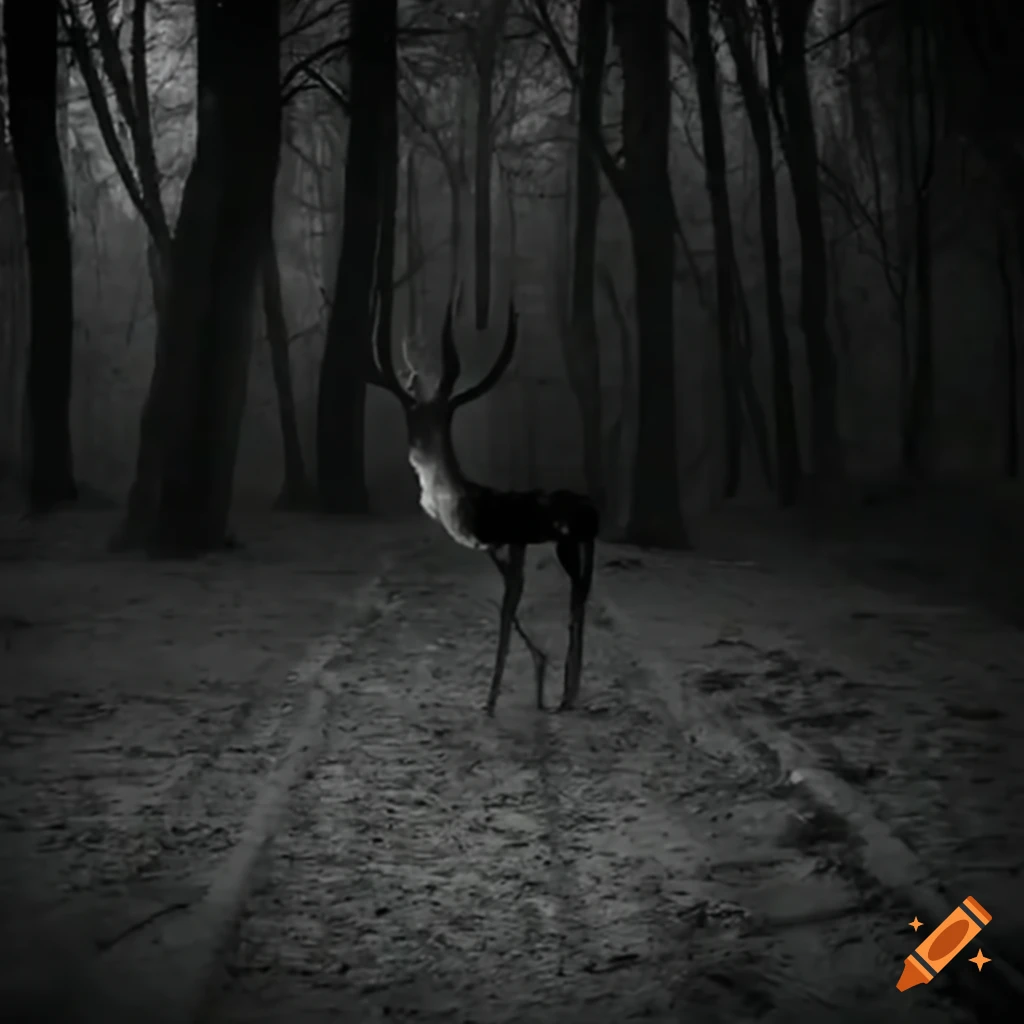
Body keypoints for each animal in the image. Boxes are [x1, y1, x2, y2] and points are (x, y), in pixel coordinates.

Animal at [366, 290, 599, 716]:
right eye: (411, 415)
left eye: (435, 418)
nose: (416, 447)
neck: (465, 504)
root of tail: (594, 511)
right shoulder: (493, 547)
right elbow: (505, 603)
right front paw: (538, 669)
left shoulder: (514, 539)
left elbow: (508, 607)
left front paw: (491, 701)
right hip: (577, 545)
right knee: (581, 594)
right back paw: (567, 691)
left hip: (567, 543)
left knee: (577, 598)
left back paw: (567, 694)